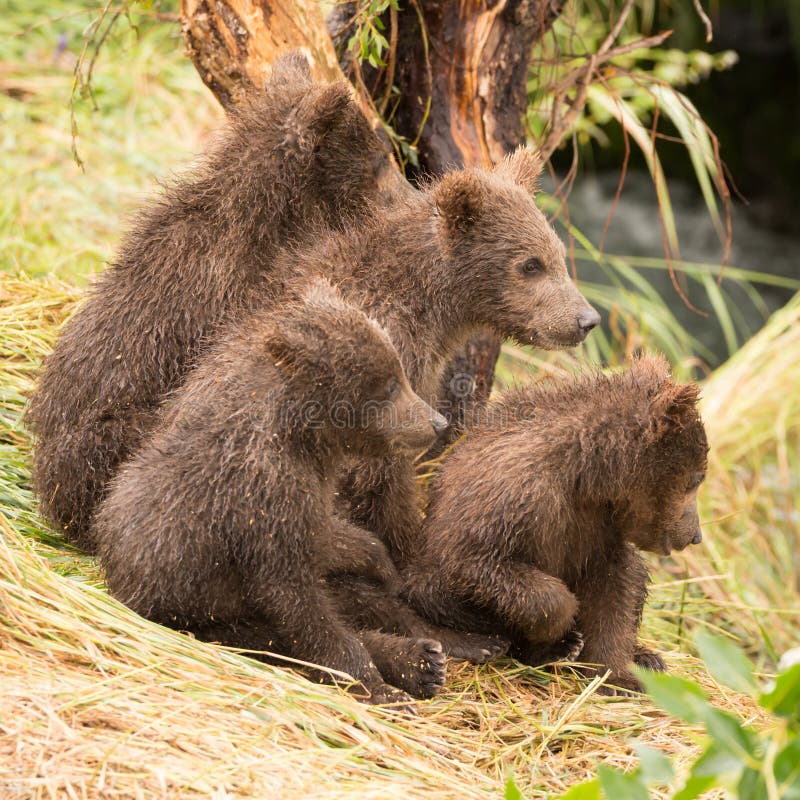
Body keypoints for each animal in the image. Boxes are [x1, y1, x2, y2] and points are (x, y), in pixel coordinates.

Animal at [92, 280, 453, 709]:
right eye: (390, 384)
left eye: (399, 372)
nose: (437, 422)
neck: (301, 433)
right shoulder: (265, 496)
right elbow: (297, 605)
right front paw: (378, 688)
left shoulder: (306, 492)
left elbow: (327, 539)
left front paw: (377, 556)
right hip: (199, 613)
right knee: (273, 637)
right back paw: (416, 661)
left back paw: (438, 649)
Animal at [402, 354, 709, 694]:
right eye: (696, 479)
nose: (695, 535)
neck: (586, 477)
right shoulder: (513, 500)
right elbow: (476, 564)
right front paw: (559, 626)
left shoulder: (602, 530)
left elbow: (616, 592)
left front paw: (618, 675)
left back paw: (643, 656)